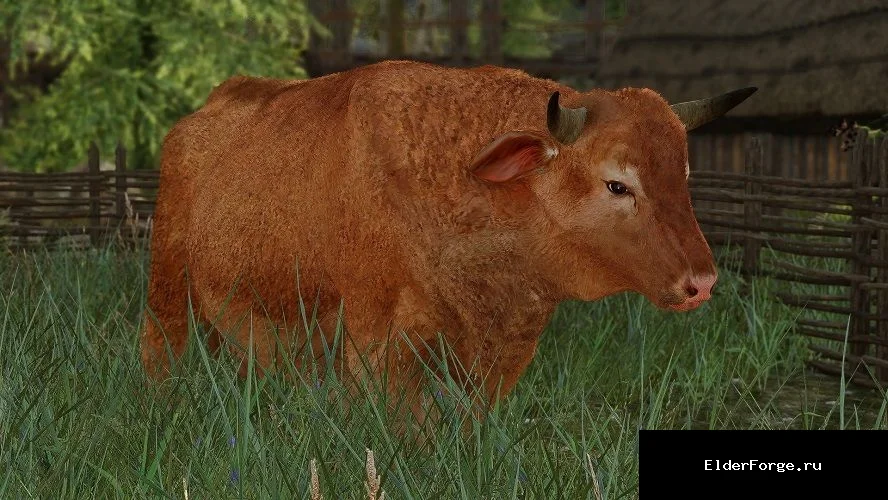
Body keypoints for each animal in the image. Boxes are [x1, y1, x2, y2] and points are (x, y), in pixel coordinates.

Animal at [141, 60, 754, 415]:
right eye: (616, 183)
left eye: (683, 175)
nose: (702, 282)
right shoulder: (376, 336)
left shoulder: (499, 349)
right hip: (168, 291)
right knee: (162, 349)